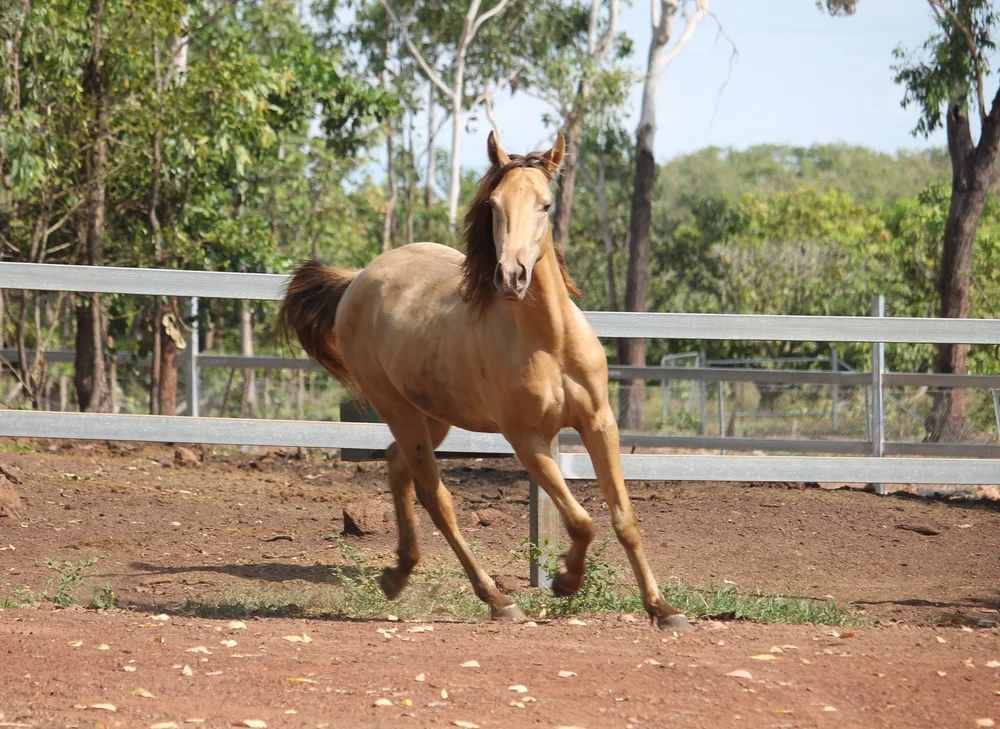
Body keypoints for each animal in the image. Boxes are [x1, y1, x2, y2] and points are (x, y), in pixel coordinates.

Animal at [278, 131, 692, 631]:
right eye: (493, 204)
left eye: (546, 204)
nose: (511, 276)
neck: (549, 342)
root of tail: (358, 279)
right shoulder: (527, 438)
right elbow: (581, 521)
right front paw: (565, 581)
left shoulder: (599, 422)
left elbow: (623, 519)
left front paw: (663, 609)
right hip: (398, 410)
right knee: (437, 498)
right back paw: (497, 599)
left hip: (431, 415)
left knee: (398, 467)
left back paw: (398, 574)